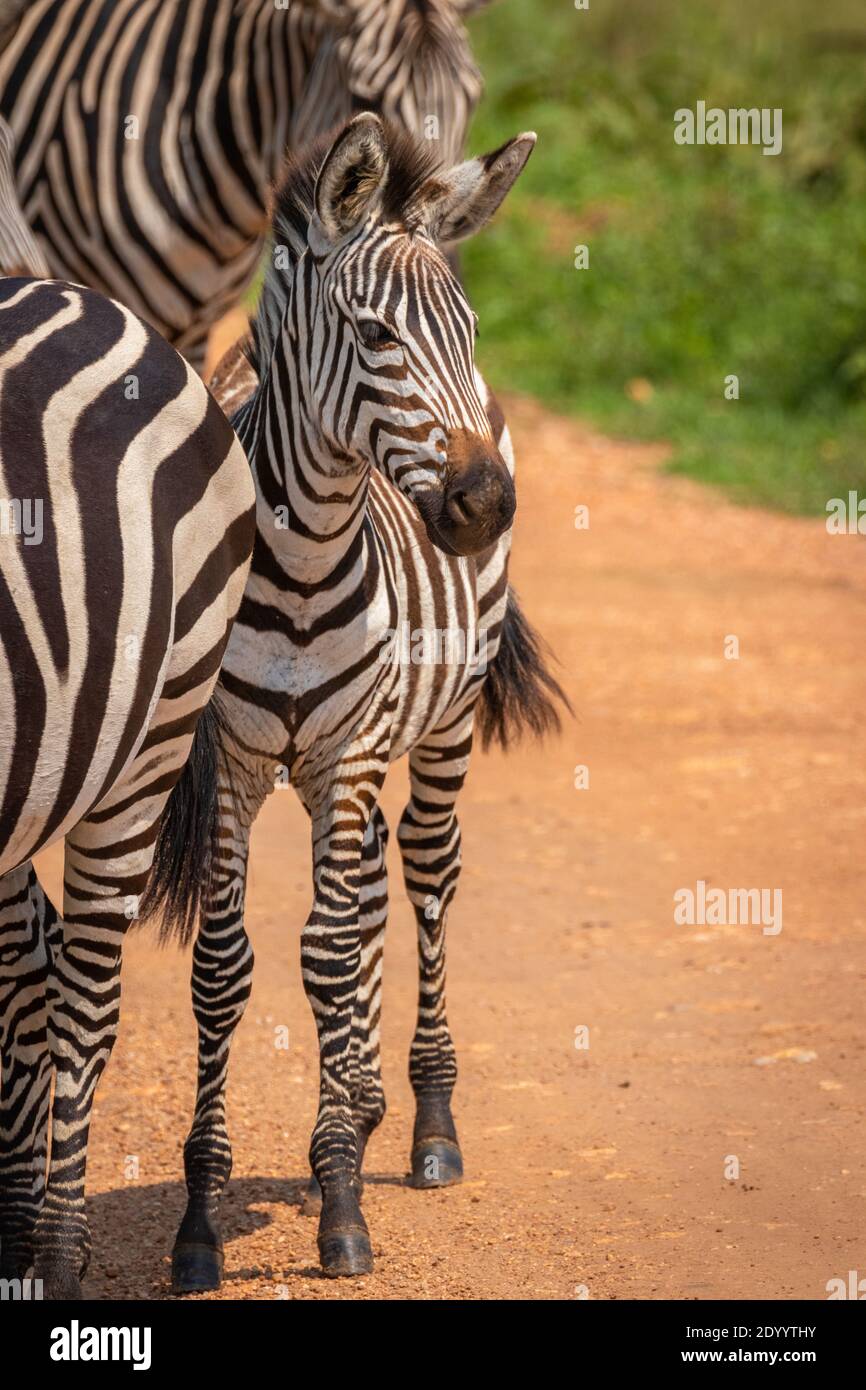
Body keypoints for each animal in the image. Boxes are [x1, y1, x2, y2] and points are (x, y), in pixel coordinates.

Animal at [152, 112, 568, 1289]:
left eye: (465, 330)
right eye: (376, 335)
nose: (484, 505)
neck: (299, 564)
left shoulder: (343, 754)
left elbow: (329, 956)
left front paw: (339, 1200)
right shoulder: (236, 764)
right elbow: (229, 969)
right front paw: (200, 1219)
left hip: (440, 723)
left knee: (421, 876)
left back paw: (425, 1123)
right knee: (373, 890)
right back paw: (373, 1098)